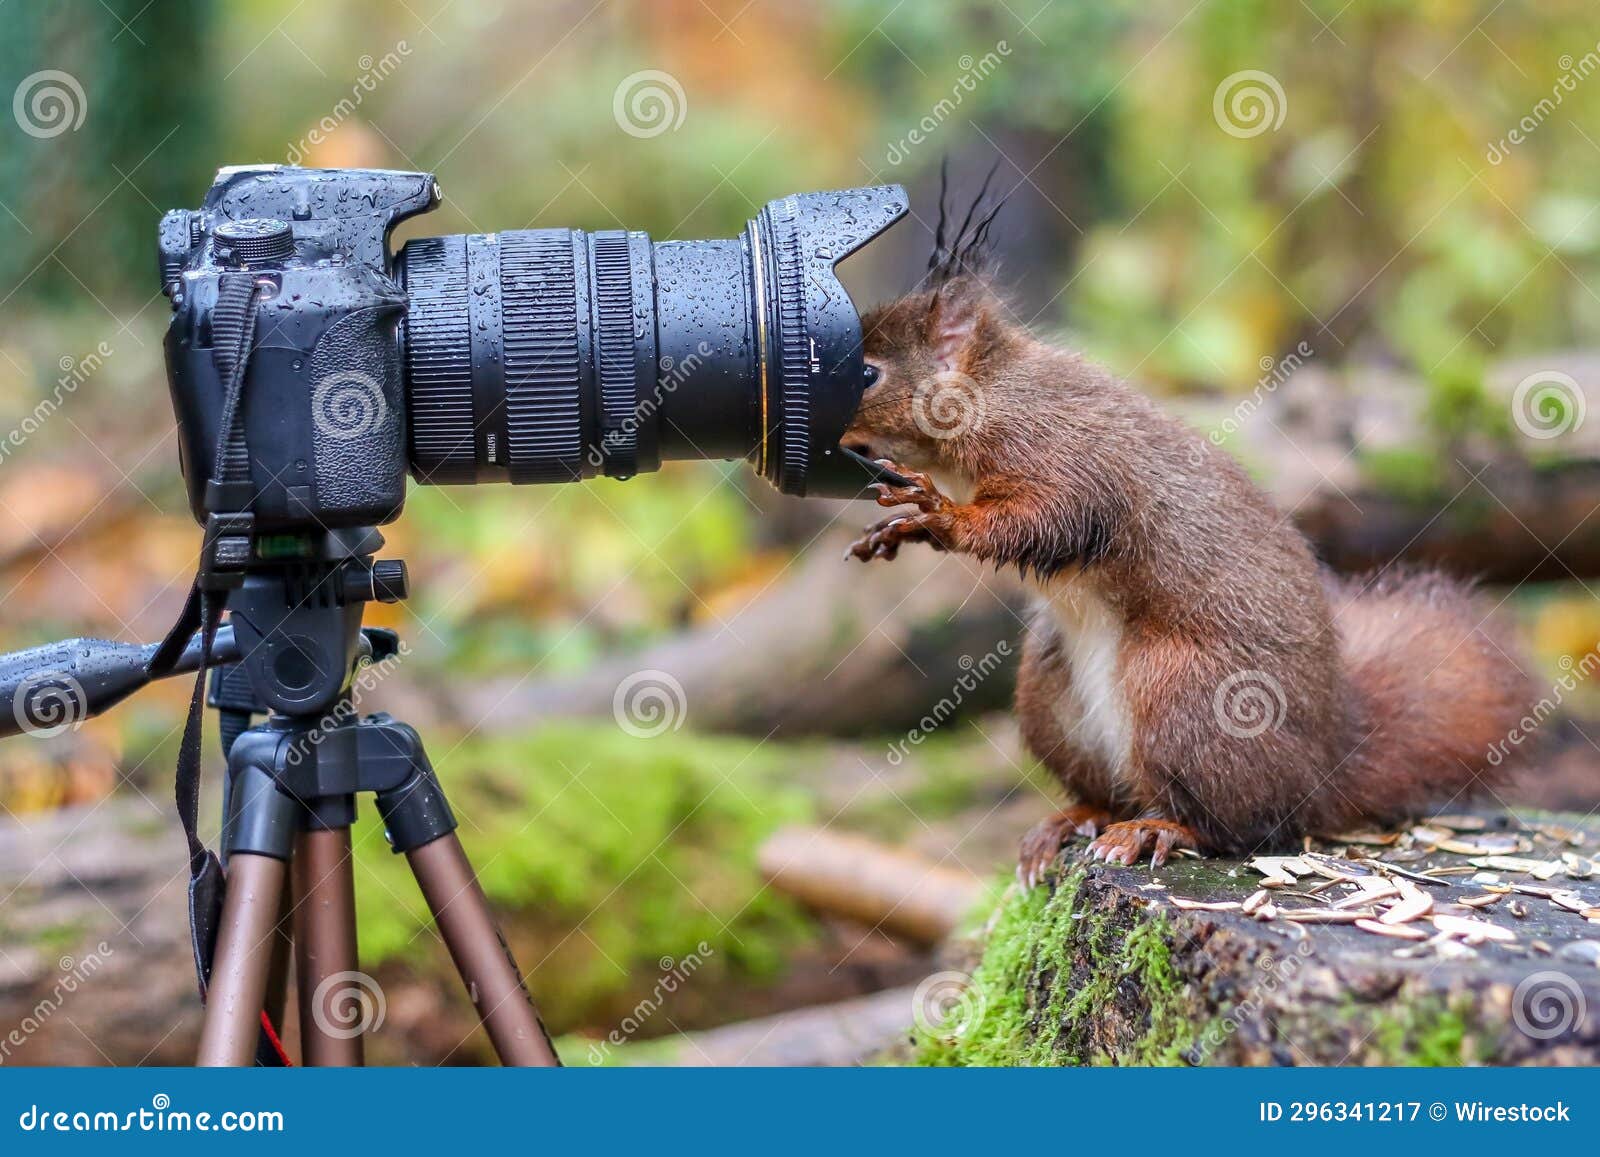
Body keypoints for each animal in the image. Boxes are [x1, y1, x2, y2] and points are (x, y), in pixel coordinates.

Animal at [841, 230, 1533, 883]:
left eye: (867, 373)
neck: (987, 392)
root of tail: (1323, 770)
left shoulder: (1061, 452)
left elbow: (1048, 515)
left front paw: (939, 514)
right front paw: (892, 532)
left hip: (1186, 693)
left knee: (1234, 824)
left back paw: (1157, 829)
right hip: (1049, 696)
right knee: (1113, 793)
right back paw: (1075, 820)